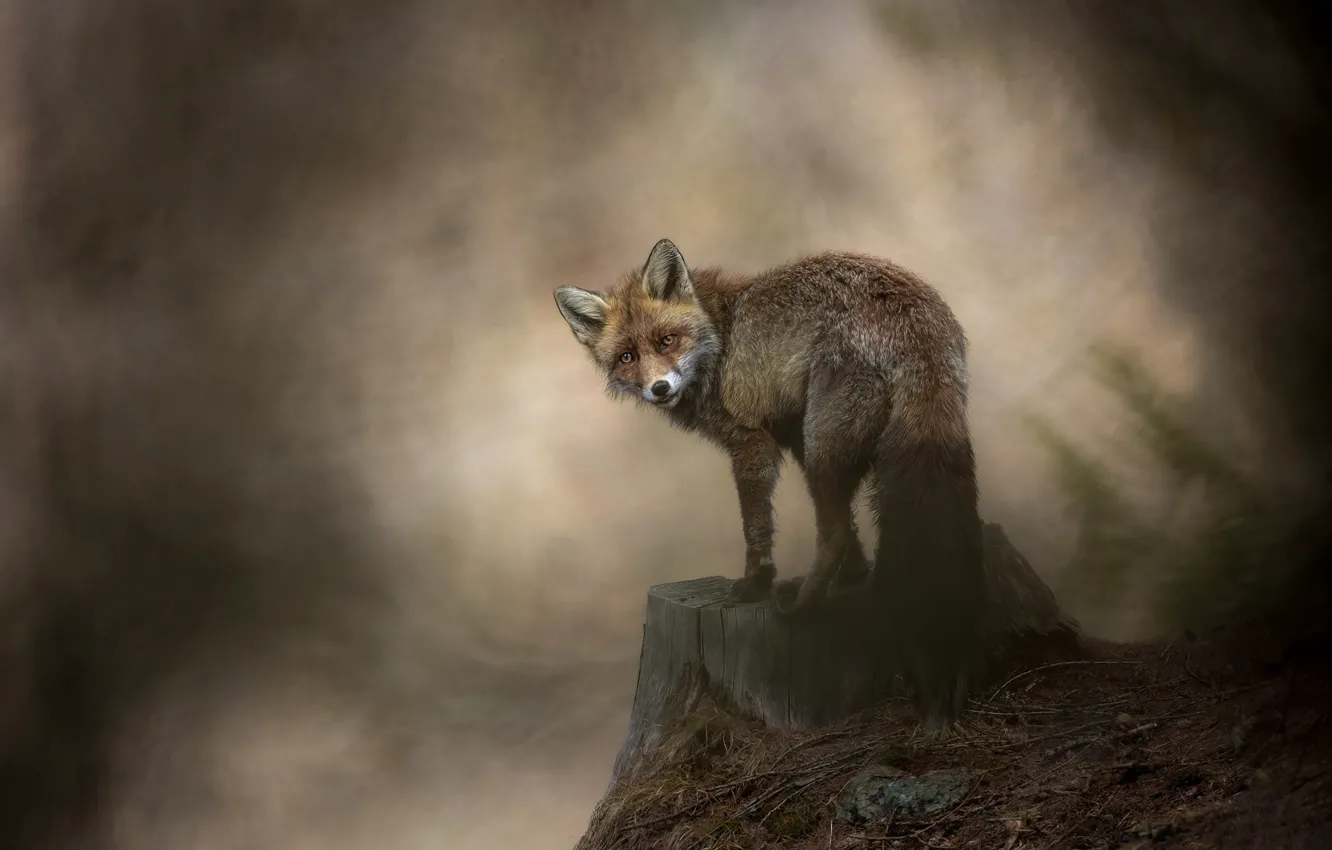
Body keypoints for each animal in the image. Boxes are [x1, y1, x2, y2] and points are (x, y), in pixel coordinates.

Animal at [553, 239, 986, 731]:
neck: (719, 339)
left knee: (832, 534)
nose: (659, 388)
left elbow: (757, 524)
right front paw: (855, 575)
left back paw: (801, 605)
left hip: (823, 449)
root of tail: (915, 317)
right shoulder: (791, 433)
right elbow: (853, 532)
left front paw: (755, 583)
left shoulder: (753, 442)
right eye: (627, 356)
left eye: (667, 340)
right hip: (844, 447)